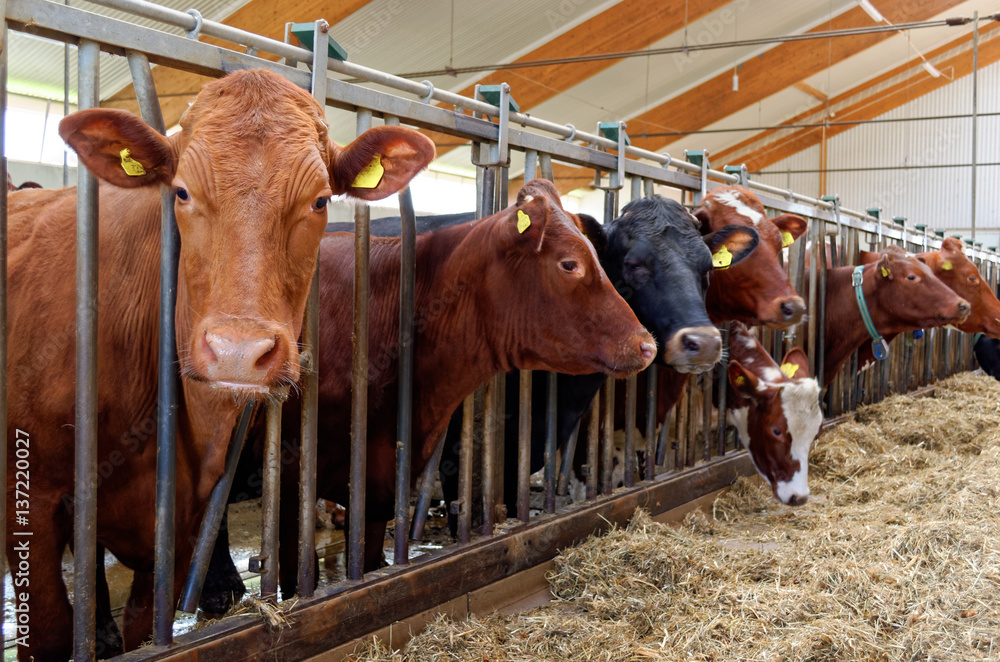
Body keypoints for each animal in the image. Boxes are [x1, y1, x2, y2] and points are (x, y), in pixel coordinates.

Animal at [8, 68, 434, 660]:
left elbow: (146, 628)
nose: (238, 351)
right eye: (182, 191)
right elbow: (46, 631)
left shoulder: (177, 528)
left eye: (321, 201)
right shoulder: (31, 501)